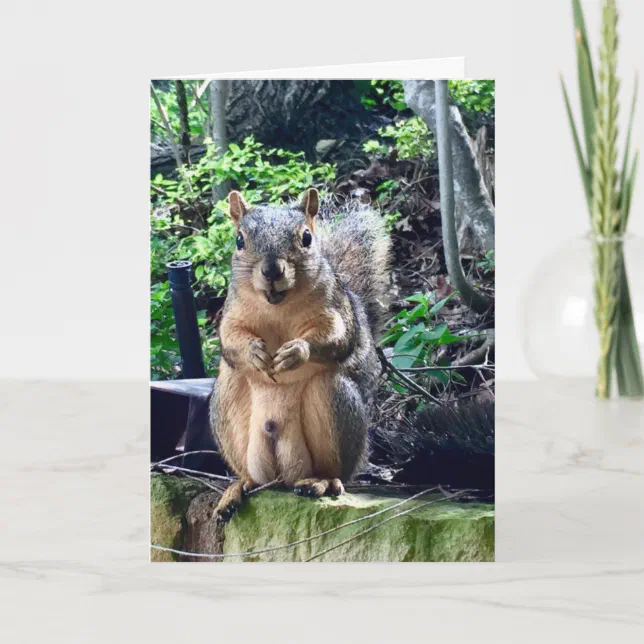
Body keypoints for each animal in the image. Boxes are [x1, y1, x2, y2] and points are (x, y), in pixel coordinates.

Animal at [209, 187, 391, 521]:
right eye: (239, 240)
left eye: (306, 237)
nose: (271, 270)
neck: (277, 305)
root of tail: (283, 476)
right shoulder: (232, 313)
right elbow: (230, 339)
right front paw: (254, 352)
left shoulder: (335, 309)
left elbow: (338, 337)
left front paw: (296, 352)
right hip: (227, 404)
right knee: (253, 477)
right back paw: (237, 488)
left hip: (334, 401)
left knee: (334, 471)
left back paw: (322, 482)